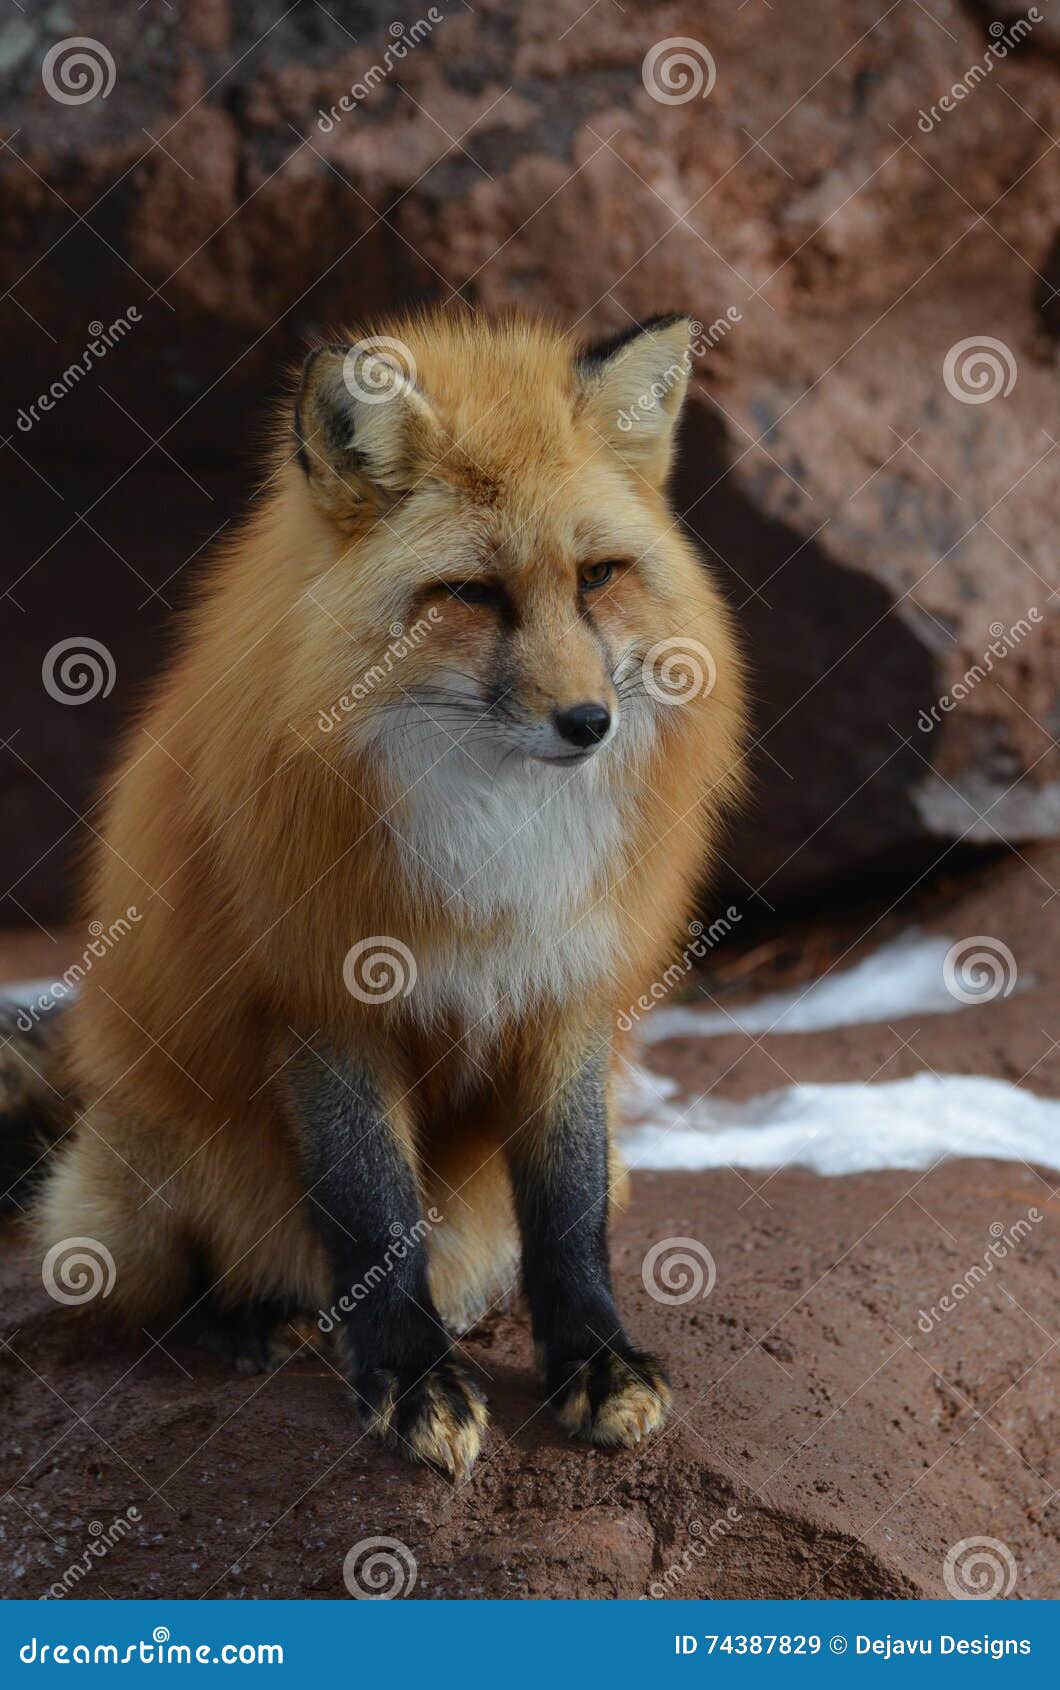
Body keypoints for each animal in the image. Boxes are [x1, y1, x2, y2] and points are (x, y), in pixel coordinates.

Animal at [1, 310, 745, 1479]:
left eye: (597, 576)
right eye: (471, 594)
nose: (589, 723)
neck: (498, 836)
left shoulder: (564, 986)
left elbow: (569, 1213)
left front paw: (594, 1360)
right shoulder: (320, 995)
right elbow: (373, 1213)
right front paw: (412, 1380)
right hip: (135, 1192)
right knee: (192, 1277)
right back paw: (259, 1317)